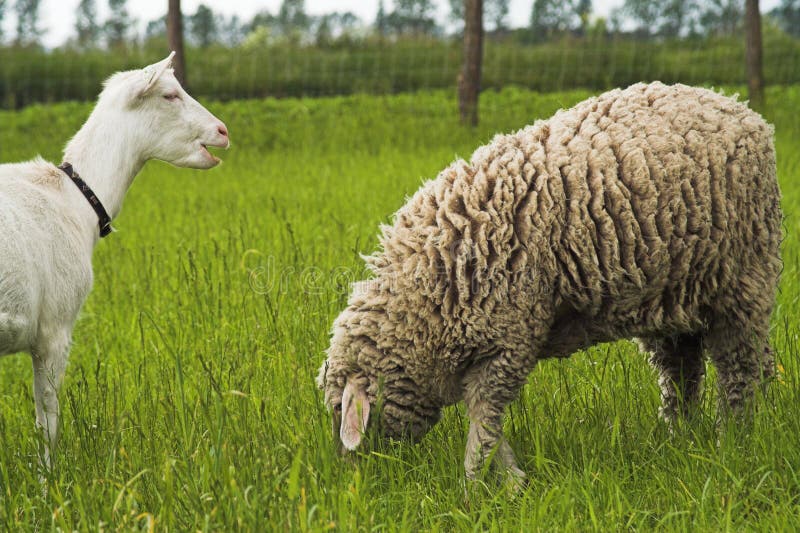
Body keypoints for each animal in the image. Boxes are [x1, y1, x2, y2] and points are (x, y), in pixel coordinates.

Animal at [0, 52, 229, 468]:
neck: (75, 200)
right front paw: (48, 480)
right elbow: (47, 419)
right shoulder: (54, 328)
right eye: (170, 94)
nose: (222, 131)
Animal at [317, 82, 781, 485]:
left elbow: (484, 416)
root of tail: (740, 108)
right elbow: (485, 418)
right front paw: (507, 477)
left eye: (343, 410)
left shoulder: (508, 338)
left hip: (745, 281)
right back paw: (680, 436)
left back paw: (735, 439)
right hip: (673, 297)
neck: (427, 298)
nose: (355, 475)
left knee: (742, 370)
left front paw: (480, 482)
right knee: (682, 371)